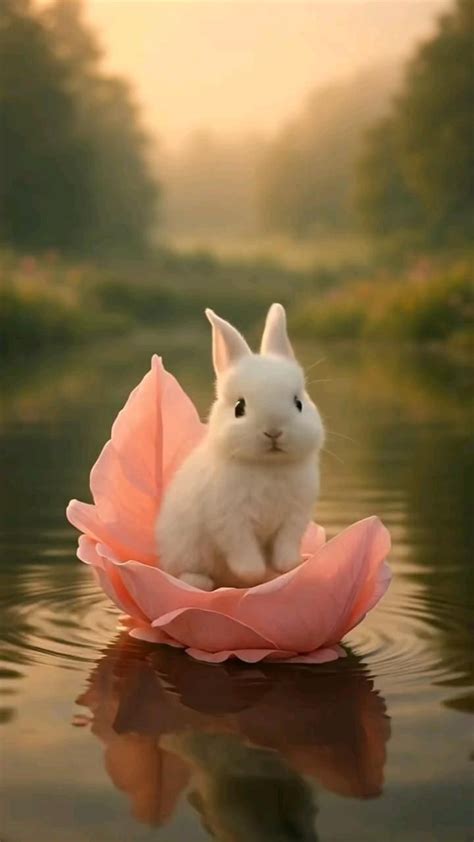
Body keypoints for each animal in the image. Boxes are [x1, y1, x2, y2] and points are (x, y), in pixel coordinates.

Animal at [156, 303, 324, 590]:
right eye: (239, 407)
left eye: (298, 403)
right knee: (185, 572)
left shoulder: (295, 516)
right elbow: (243, 550)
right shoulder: (230, 520)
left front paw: (288, 567)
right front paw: (254, 575)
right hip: (185, 549)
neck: (267, 466)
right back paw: (200, 582)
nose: (273, 431)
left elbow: (286, 544)